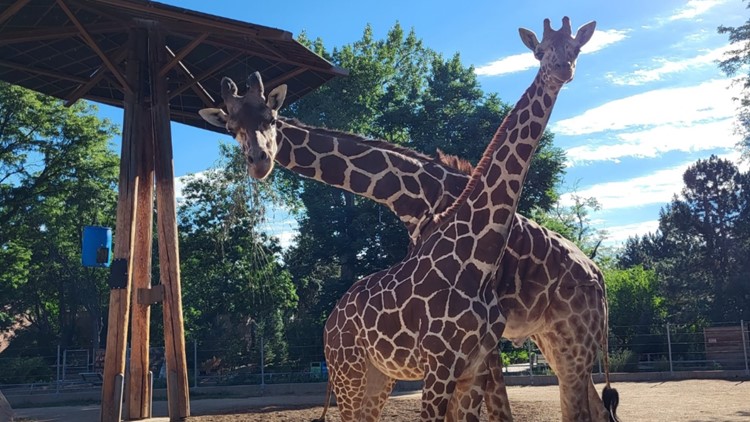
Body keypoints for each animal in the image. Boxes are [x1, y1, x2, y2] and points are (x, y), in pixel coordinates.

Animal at [200, 17, 616, 422]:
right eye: (231, 127)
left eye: (271, 117)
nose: (259, 161)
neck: (409, 194)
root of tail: (598, 275)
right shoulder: (455, 360)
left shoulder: (473, 357)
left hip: (571, 342)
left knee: (586, 408)